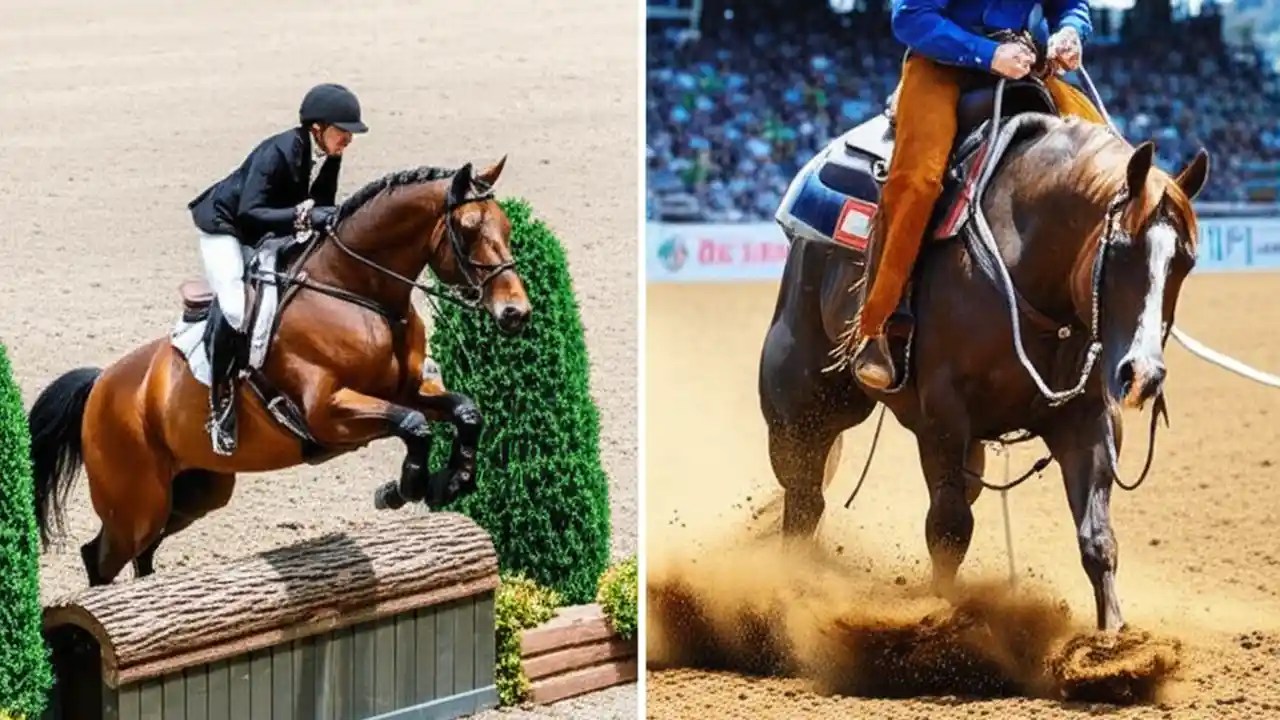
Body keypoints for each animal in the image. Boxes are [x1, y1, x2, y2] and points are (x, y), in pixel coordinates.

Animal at [28, 157, 531, 587]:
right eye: (467, 228)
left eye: (506, 226)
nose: (516, 313)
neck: (358, 293)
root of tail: (101, 384)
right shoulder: (326, 412)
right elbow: (414, 425)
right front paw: (403, 488)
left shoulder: (406, 389)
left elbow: (465, 412)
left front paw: (452, 481)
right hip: (137, 502)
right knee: (100, 557)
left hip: (194, 492)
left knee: (142, 554)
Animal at [761, 70, 1210, 632]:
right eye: (1121, 248)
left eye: (1186, 260)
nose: (1142, 375)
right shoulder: (944, 416)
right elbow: (949, 529)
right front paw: (942, 622)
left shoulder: (1086, 418)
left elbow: (1098, 539)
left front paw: (1115, 639)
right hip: (801, 394)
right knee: (804, 495)